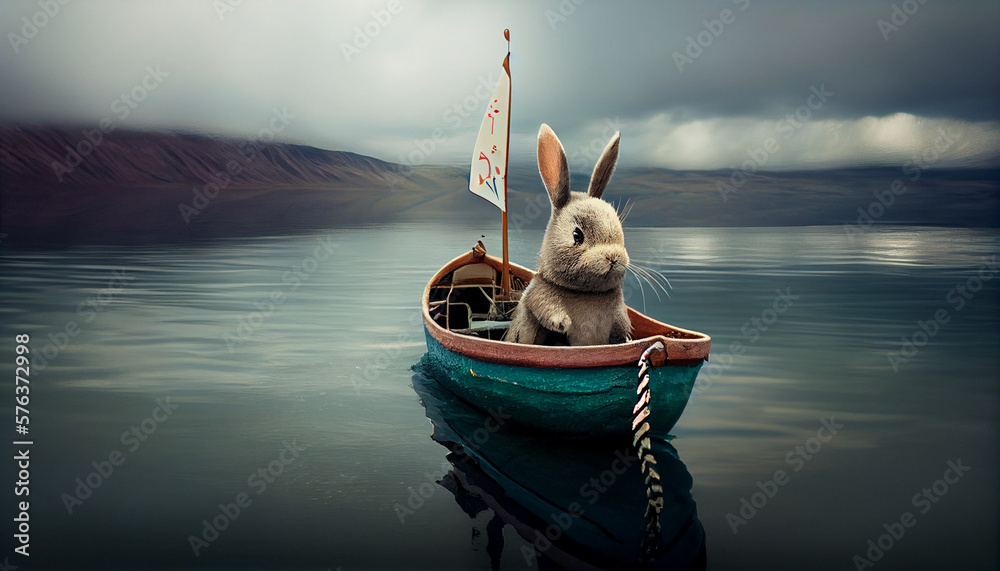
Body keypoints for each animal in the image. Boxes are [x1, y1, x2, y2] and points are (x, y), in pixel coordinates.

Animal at [505, 123, 631, 346]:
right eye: (576, 235)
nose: (613, 257)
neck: (586, 293)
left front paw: (626, 338)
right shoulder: (539, 295)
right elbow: (546, 307)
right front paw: (562, 323)